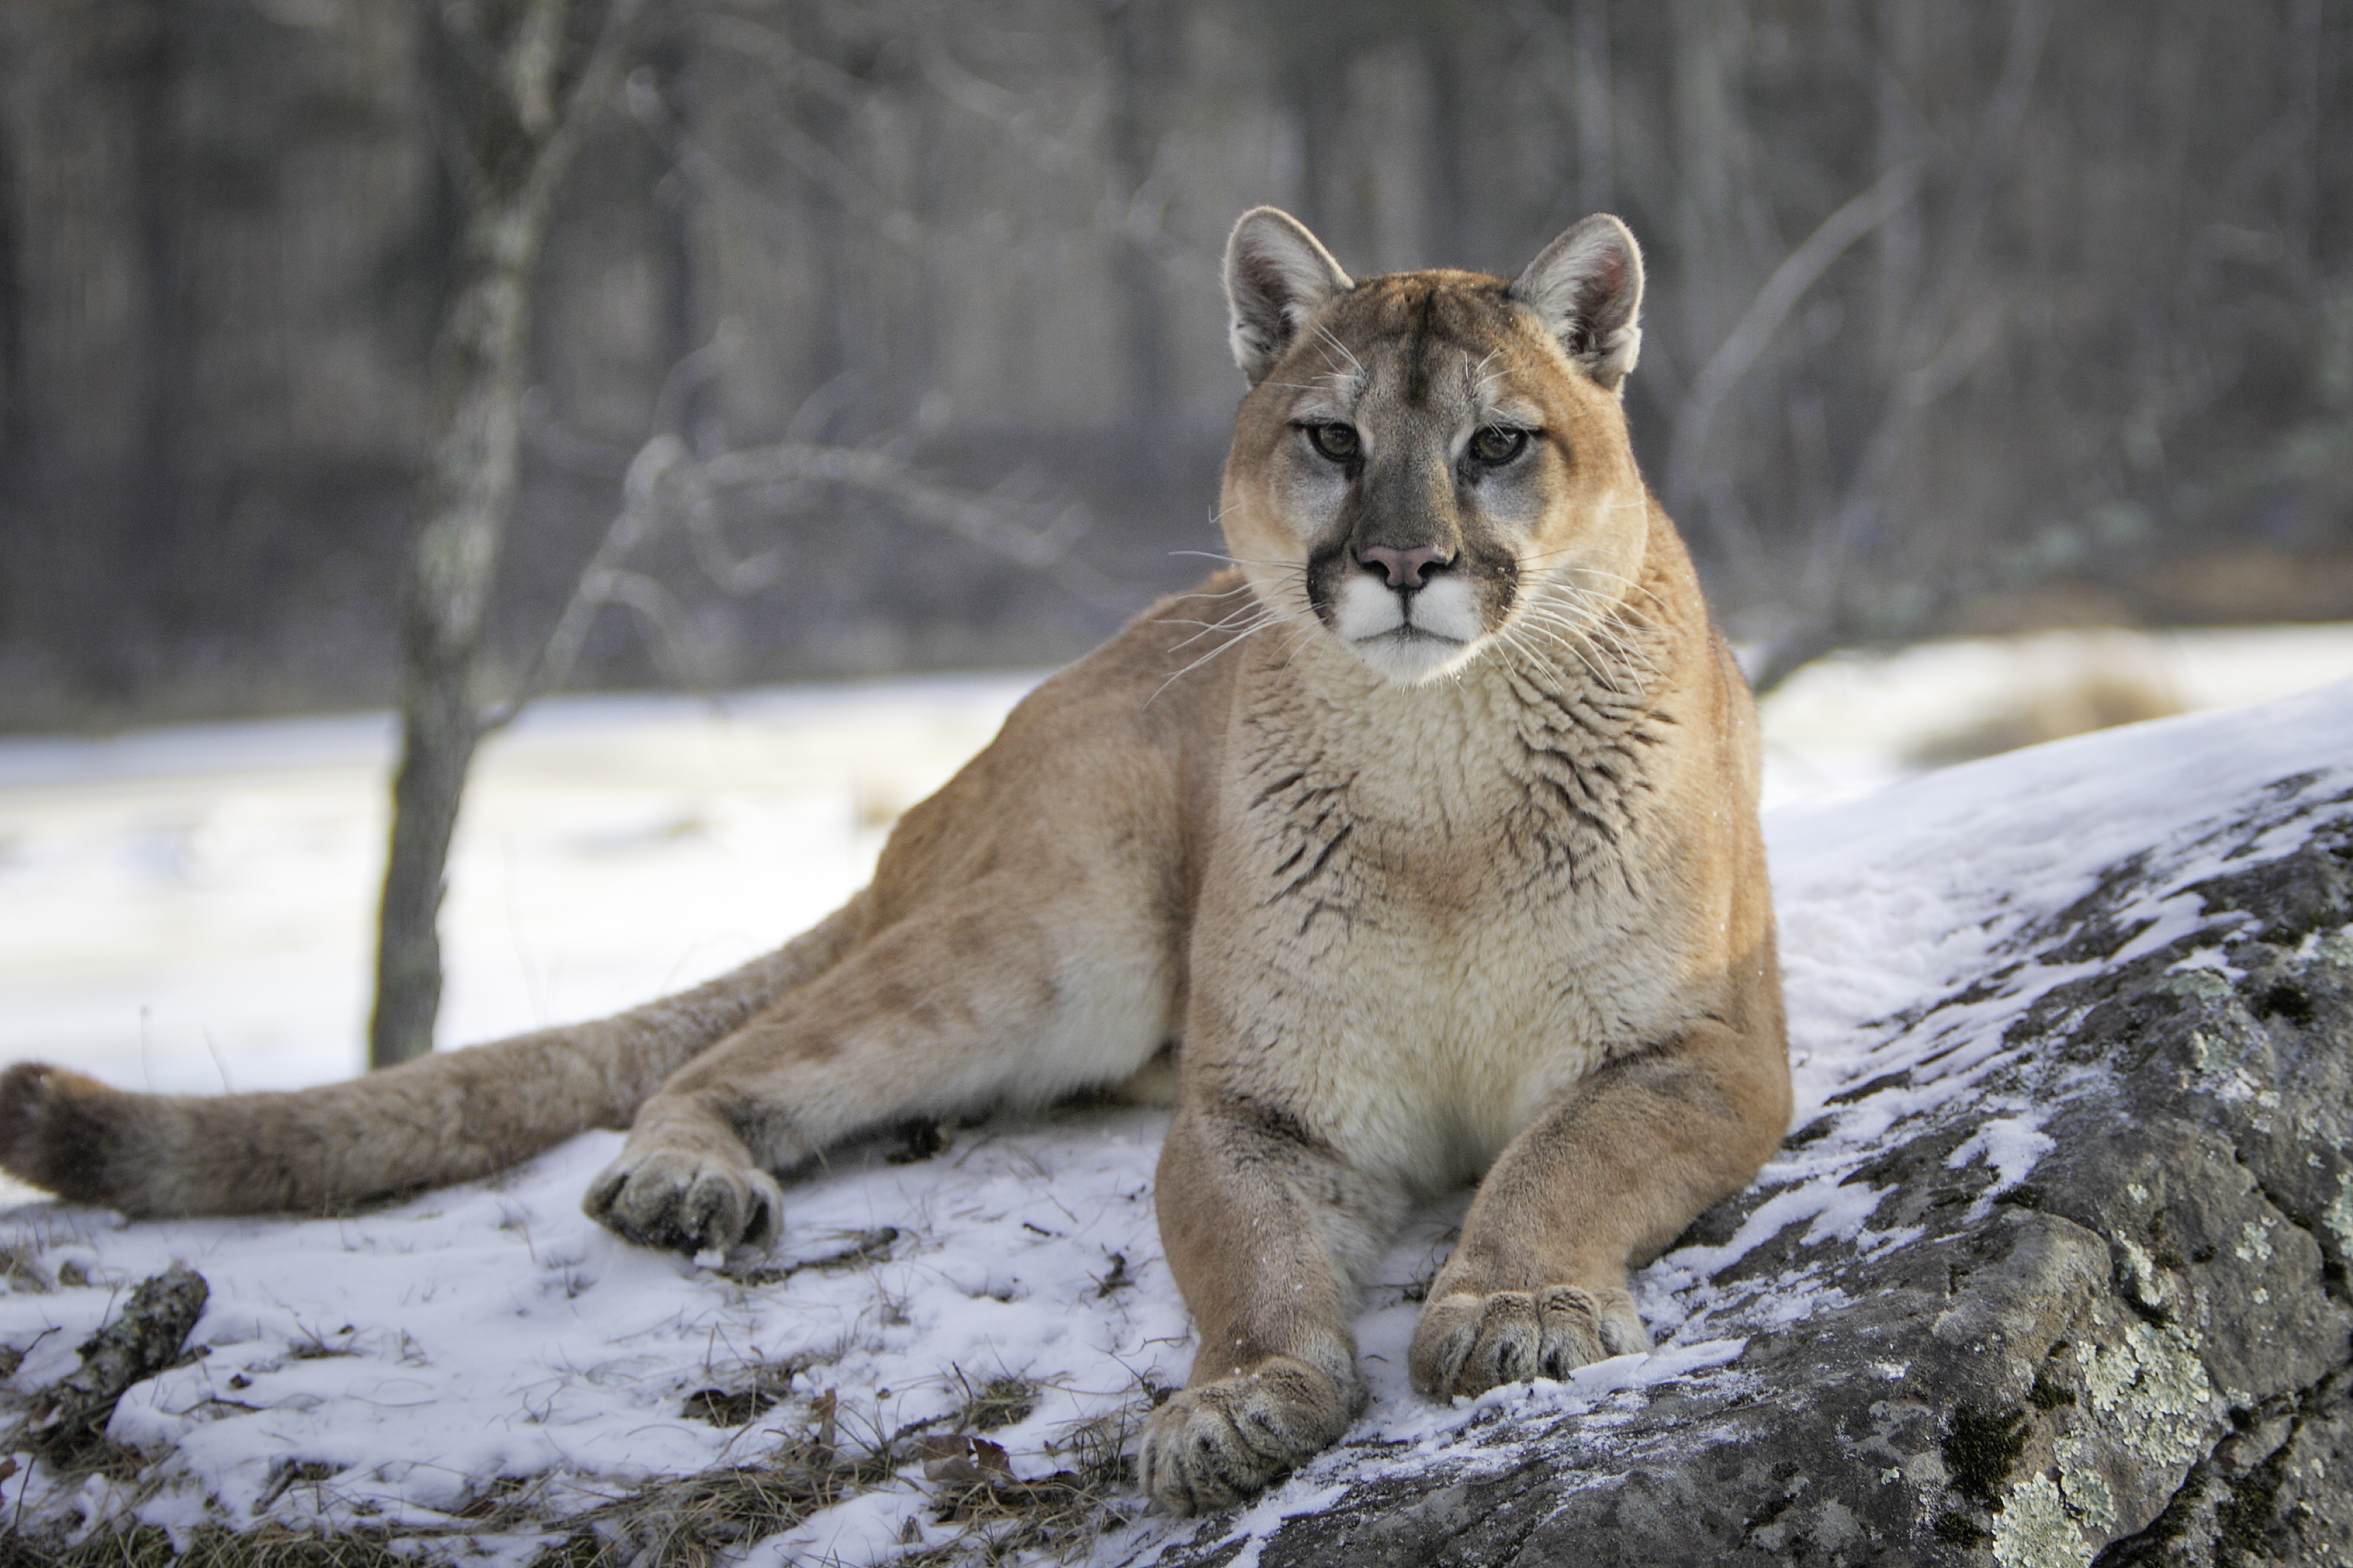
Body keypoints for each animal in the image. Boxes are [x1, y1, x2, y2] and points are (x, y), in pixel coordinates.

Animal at [0, 207, 1789, 1512]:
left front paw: (1513, 1306)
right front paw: (1235, 1399)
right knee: (739, 1050)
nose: (1405, 564)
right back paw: (685, 1177)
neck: (1440, 779)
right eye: (1334, 440)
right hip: (1058, 941)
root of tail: (1000, 735)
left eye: (1496, 446)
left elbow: (1564, 1156)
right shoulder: (1257, 1104)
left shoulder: (1701, 1044)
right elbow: (1246, 1257)